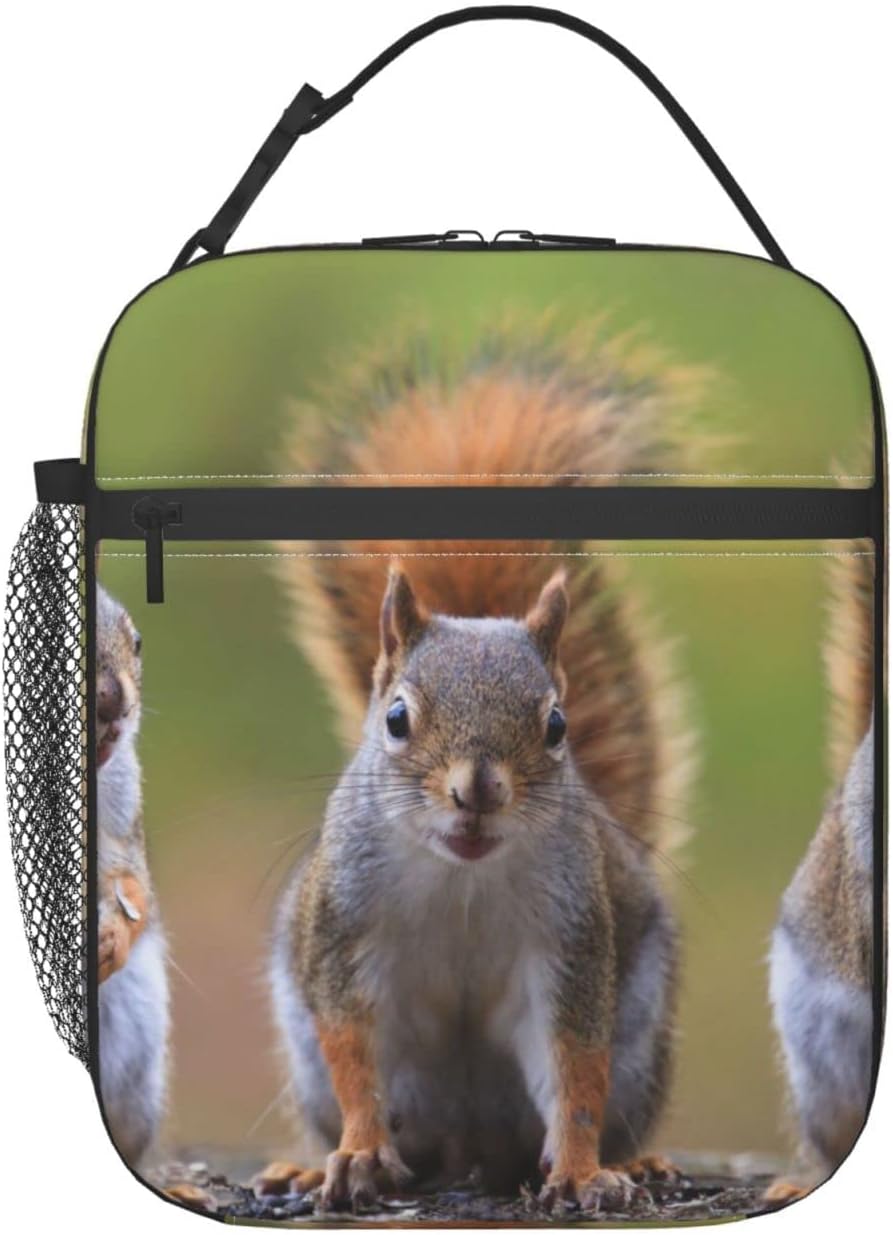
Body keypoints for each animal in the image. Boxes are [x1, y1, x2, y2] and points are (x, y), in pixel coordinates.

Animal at [261, 324, 700, 1211]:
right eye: (396, 718)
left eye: (557, 725)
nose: (478, 789)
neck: (459, 878)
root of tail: (467, 1148)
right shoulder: (343, 933)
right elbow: (353, 1051)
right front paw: (358, 1153)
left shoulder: (568, 939)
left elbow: (574, 1066)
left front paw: (580, 1171)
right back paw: (311, 1160)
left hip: (641, 1042)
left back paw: (634, 1161)